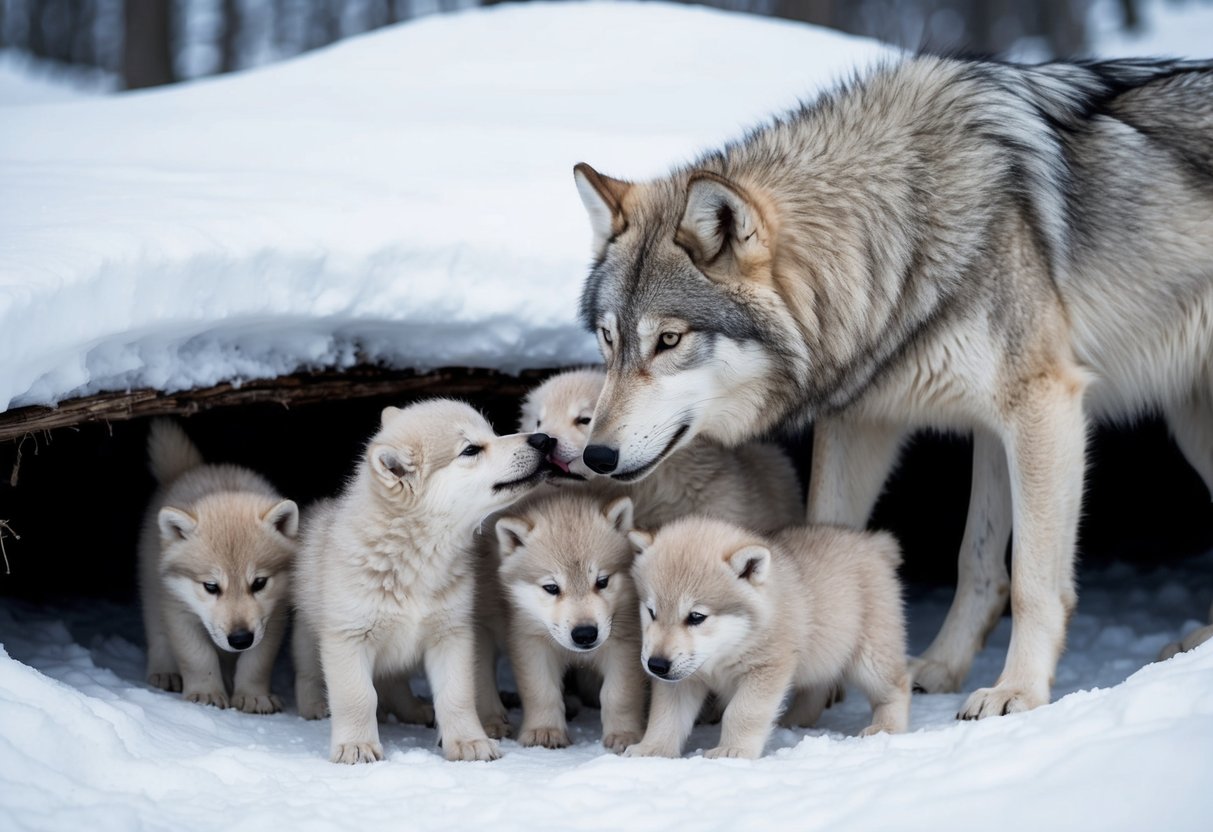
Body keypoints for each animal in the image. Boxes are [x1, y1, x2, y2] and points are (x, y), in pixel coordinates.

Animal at [137, 419, 299, 714]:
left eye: (259, 583)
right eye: (210, 586)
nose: (240, 639)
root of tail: (187, 469)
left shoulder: (274, 616)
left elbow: (257, 662)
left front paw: (252, 696)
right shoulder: (178, 610)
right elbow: (198, 657)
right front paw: (206, 694)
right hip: (151, 588)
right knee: (156, 632)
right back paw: (164, 671)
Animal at [291, 399, 554, 763]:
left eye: (492, 432)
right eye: (471, 449)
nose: (543, 440)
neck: (415, 558)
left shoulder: (451, 633)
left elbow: (457, 694)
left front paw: (468, 741)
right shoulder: (348, 636)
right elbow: (357, 697)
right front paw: (356, 745)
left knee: (393, 681)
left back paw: (414, 710)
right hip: (308, 631)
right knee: (308, 669)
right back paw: (315, 705)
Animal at [494, 493, 647, 751]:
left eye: (602, 581)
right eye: (551, 588)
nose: (585, 634)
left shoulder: (624, 643)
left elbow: (618, 694)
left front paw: (624, 735)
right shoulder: (531, 642)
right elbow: (541, 691)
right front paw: (544, 731)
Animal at [573, 56, 1213, 719]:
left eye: (669, 340)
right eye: (608, 339)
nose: (596, 455)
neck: (907, 231)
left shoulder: (1041, 405)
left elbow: (1034, 582)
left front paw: (1017, 691)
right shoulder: (880, 422)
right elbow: (961, 558)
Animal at [626, 518, 909, 758]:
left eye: (696, 617)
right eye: (651, 612)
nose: (656, 665)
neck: (728, 648)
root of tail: (872, 542)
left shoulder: (766, 668)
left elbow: (741, 712)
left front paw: (733, 750)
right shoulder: (681, 679)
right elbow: (666, 716)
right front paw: (652, 750)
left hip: (870, 656)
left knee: (897, 683)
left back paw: (885, 727)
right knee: (817, 686)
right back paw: (793, 721)